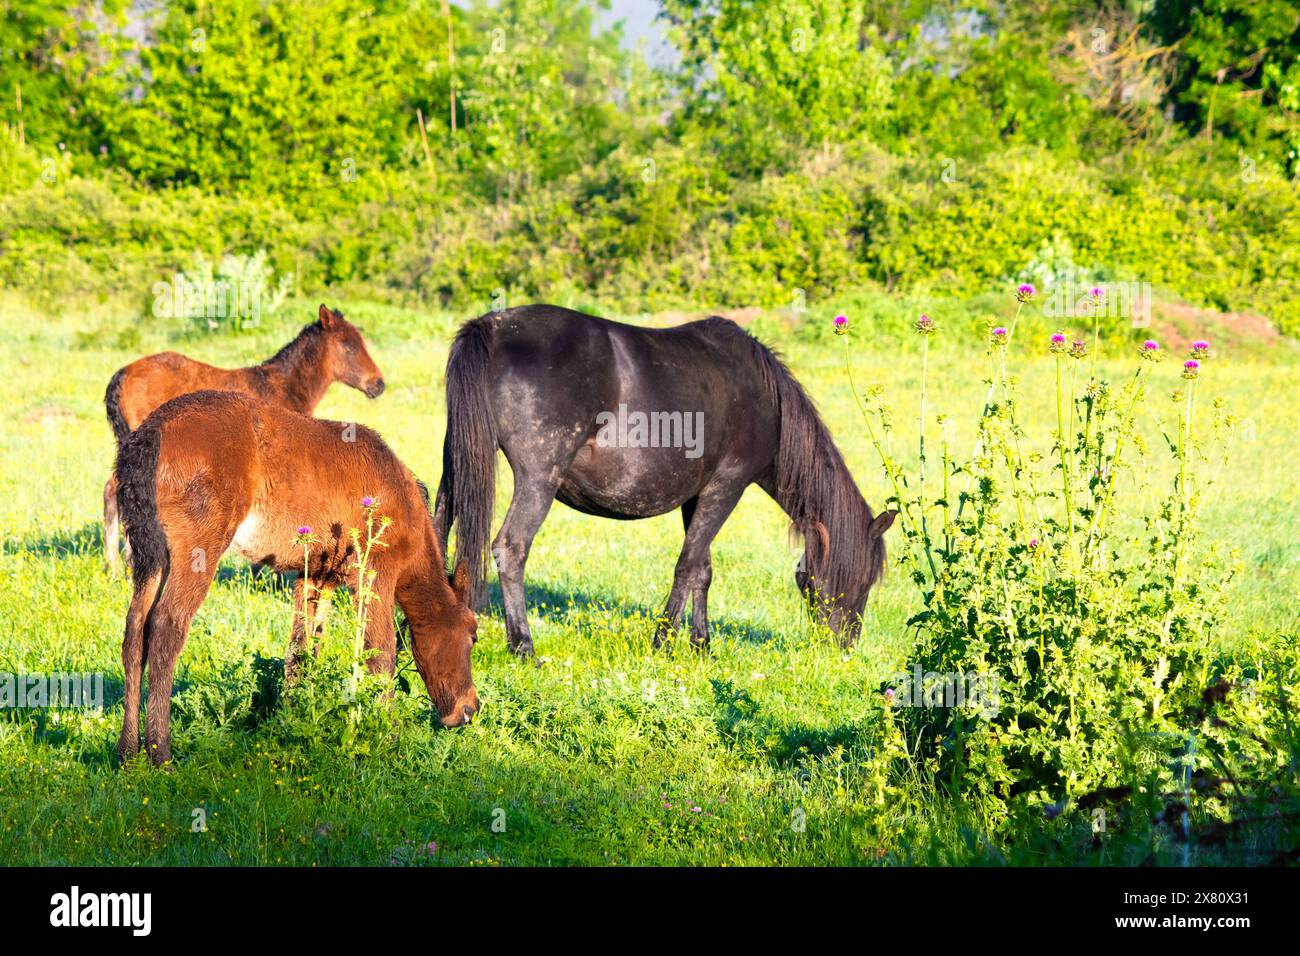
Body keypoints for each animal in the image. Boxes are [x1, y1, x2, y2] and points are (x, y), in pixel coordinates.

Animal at [102, 304, 386, 575]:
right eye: (347, 346)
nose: (379, 384)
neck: (282, 387)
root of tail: (121, 375)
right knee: (114, 491)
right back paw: (120, 565)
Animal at [114, 390, 478, 766]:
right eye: (473, 636)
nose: (469, 709)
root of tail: (149, 434)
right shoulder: (376, 571)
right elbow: (380, 655)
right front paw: (386, 739)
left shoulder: (317, 576)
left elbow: (300, 652)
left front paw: (292, 724)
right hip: (198, 549)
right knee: (166, 626)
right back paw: (160, 753)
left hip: (150, 556)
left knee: (135, 630)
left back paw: (128, 752)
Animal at [433, 304, 896, 657]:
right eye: (865, 578)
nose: (844, 645)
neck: (764, 399)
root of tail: (492, 329)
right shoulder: (725, 487)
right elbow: (687, 565)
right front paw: (664, 639)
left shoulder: (698, 495)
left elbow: (702, 568)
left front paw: (701, 644)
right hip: (538, 480)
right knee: (511, 548)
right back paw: (524, 646)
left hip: (458, 467)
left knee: (437, 532)